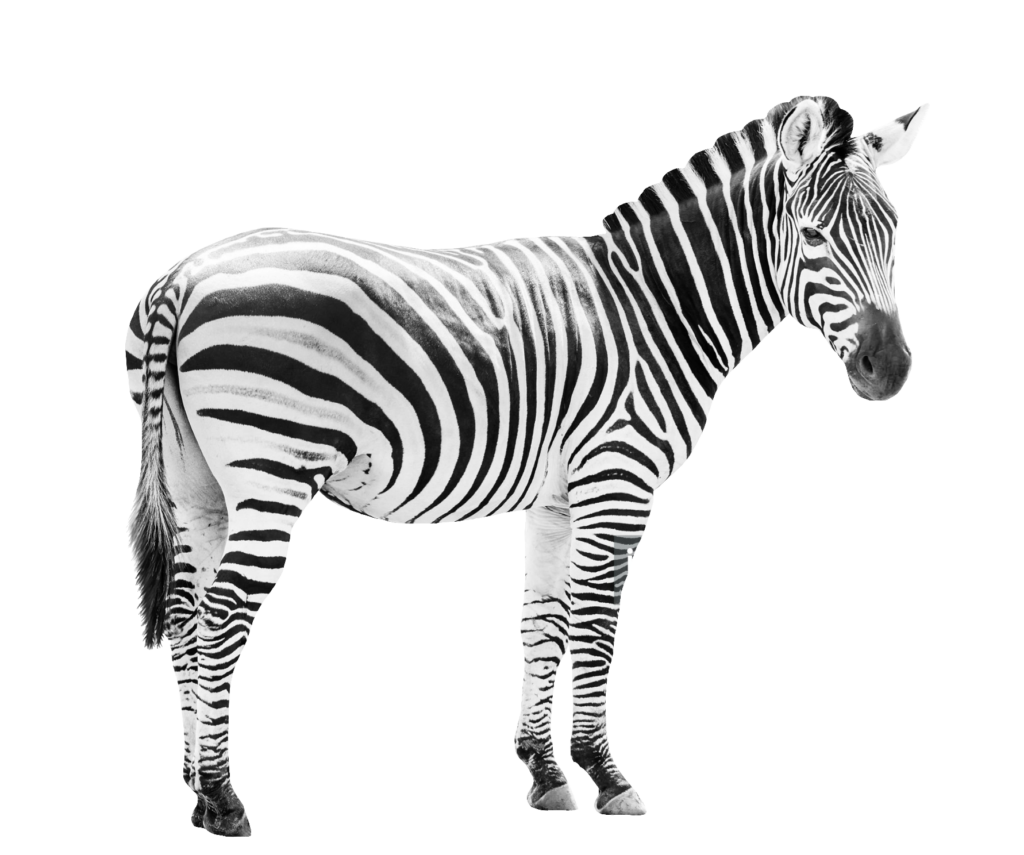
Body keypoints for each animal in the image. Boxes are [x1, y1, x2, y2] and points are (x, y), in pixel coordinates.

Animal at [126, 95, 926, 833]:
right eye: (813, 236)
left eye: (892, 233)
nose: (890, 372)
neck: (659, 307)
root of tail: (184, 277)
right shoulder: (617, 478)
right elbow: (597, 622)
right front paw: (608, 776)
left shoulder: (558, 496)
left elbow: (543, 619)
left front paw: (544, 771)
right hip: (272, 468)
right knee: (223, 613)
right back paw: (225, 799)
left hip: (197, 484)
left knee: (187, 612)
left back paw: (197, 788)